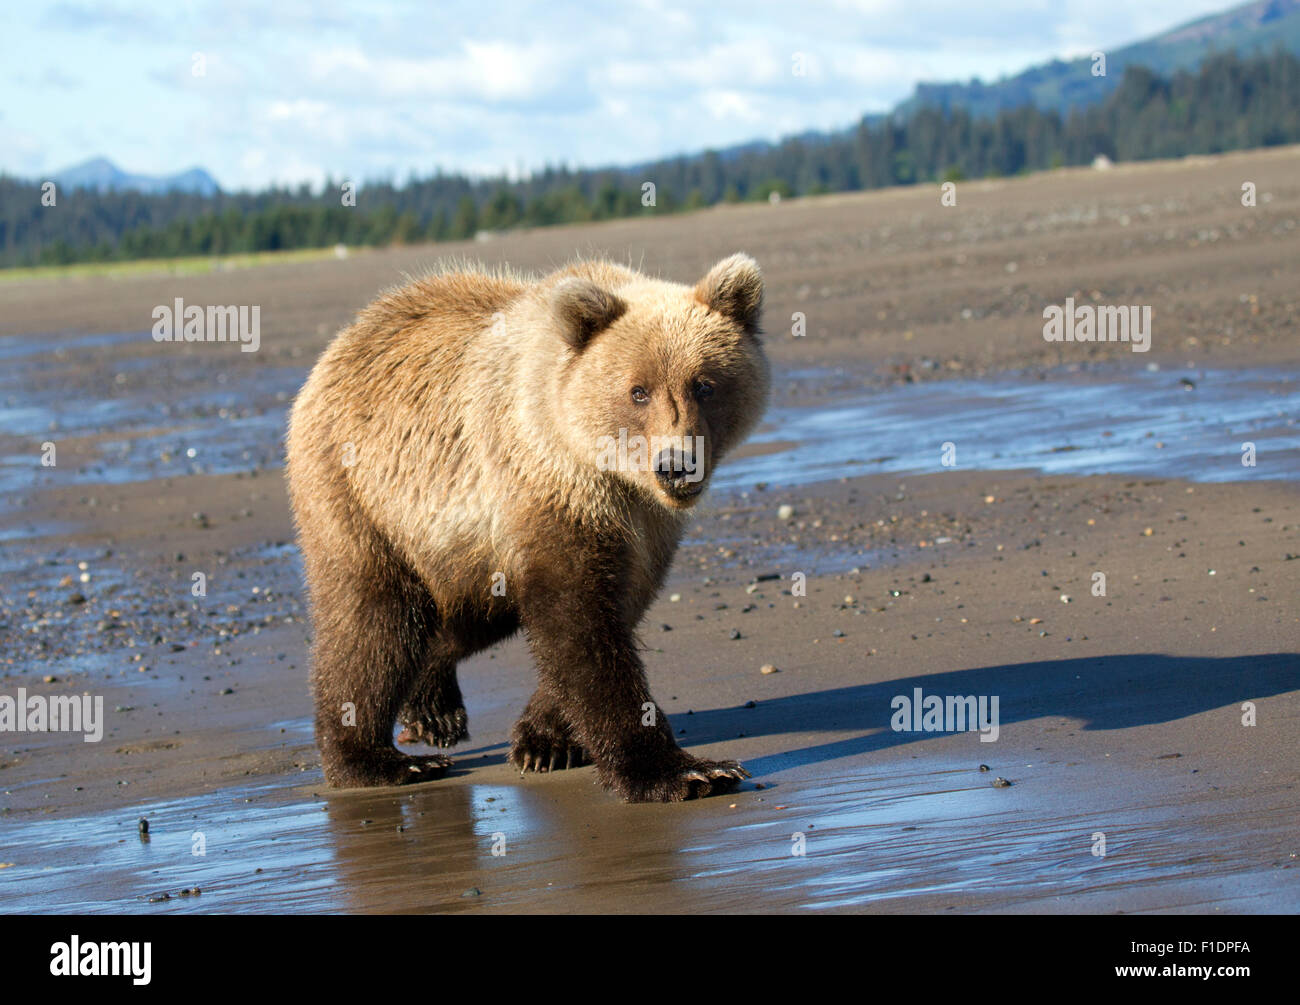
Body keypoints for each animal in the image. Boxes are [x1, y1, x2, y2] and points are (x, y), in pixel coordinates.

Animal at [285, 253, 769, 801]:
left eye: (704, 384)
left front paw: (545, 741)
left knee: (461, 615)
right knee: (373, 622)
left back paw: (433, 709)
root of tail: (345, 340)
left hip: (460, 544)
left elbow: (611, 608)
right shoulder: (548, 481)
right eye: (638, 391)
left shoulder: (645, 525)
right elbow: (577, 619)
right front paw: (681, 771)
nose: (676, 465)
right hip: (360, 495)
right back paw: (375, 759)